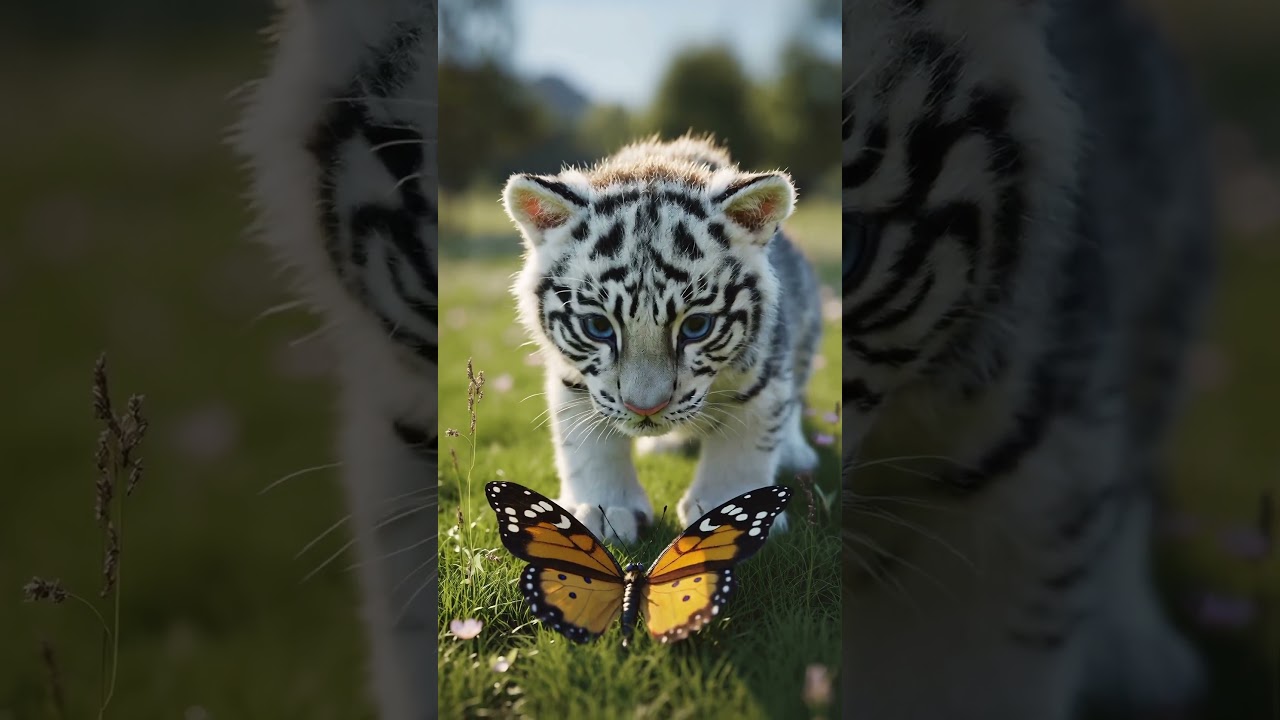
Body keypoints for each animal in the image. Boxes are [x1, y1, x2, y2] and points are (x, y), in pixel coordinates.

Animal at [503, 134, 824, 544]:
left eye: (696, 326)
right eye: (598, 326)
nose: (645, 408)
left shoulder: (762, 374)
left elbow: (746, 445)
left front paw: (736, 510)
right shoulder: (572, 377)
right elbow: (585, 445)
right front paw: (602, 510)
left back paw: (797, 452)